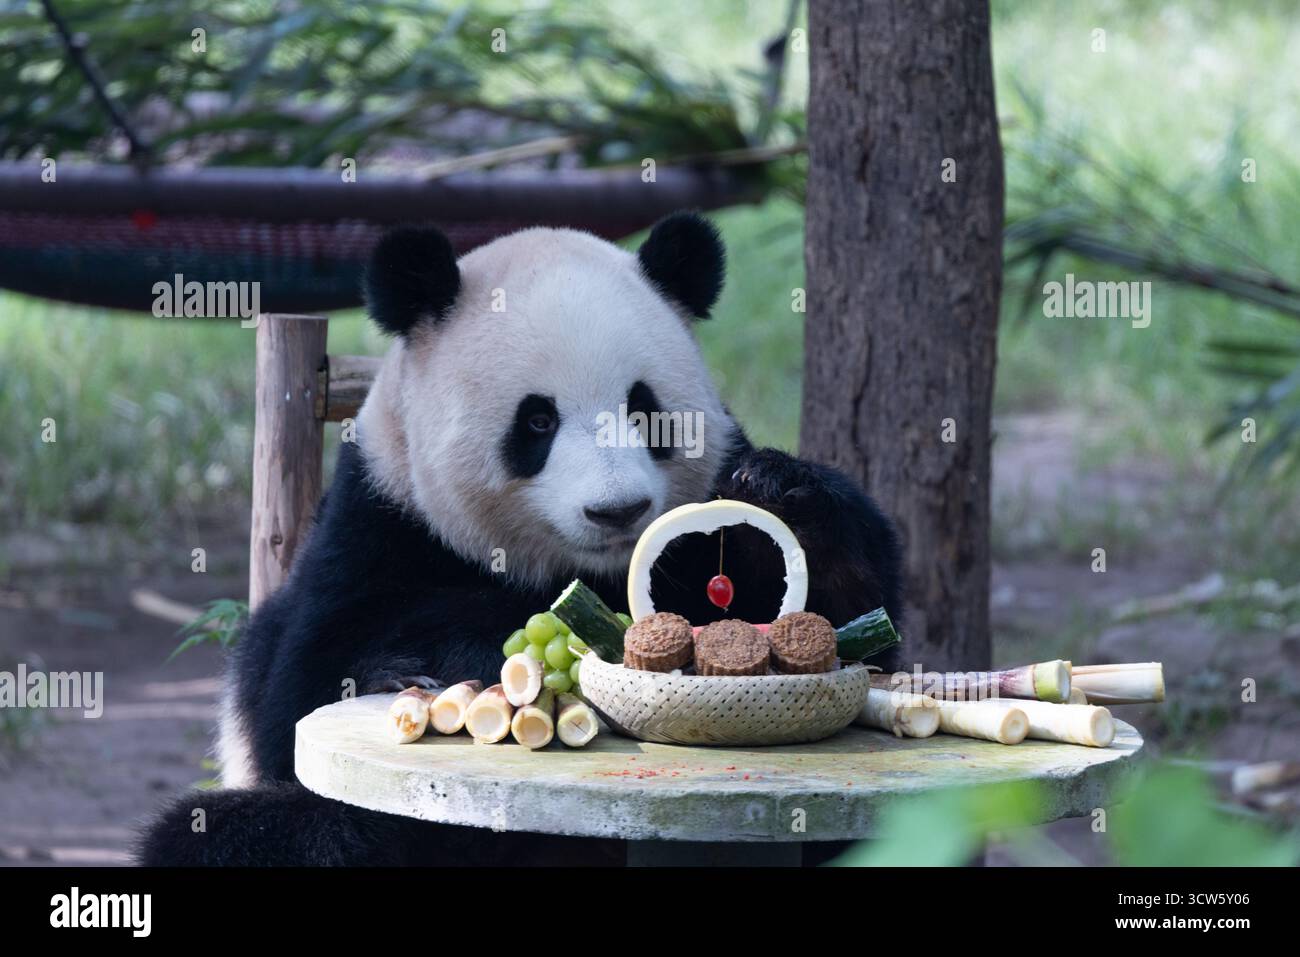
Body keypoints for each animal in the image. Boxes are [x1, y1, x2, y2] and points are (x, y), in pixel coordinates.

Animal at [138, 212, 903, 866]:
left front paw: (787, 494)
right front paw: (435, 665)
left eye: (645, 411)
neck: (566, 567)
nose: (617, 510)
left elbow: (859, 626)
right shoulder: (379, 522)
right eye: (537, 421)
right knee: (237, 836)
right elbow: (299, 691)